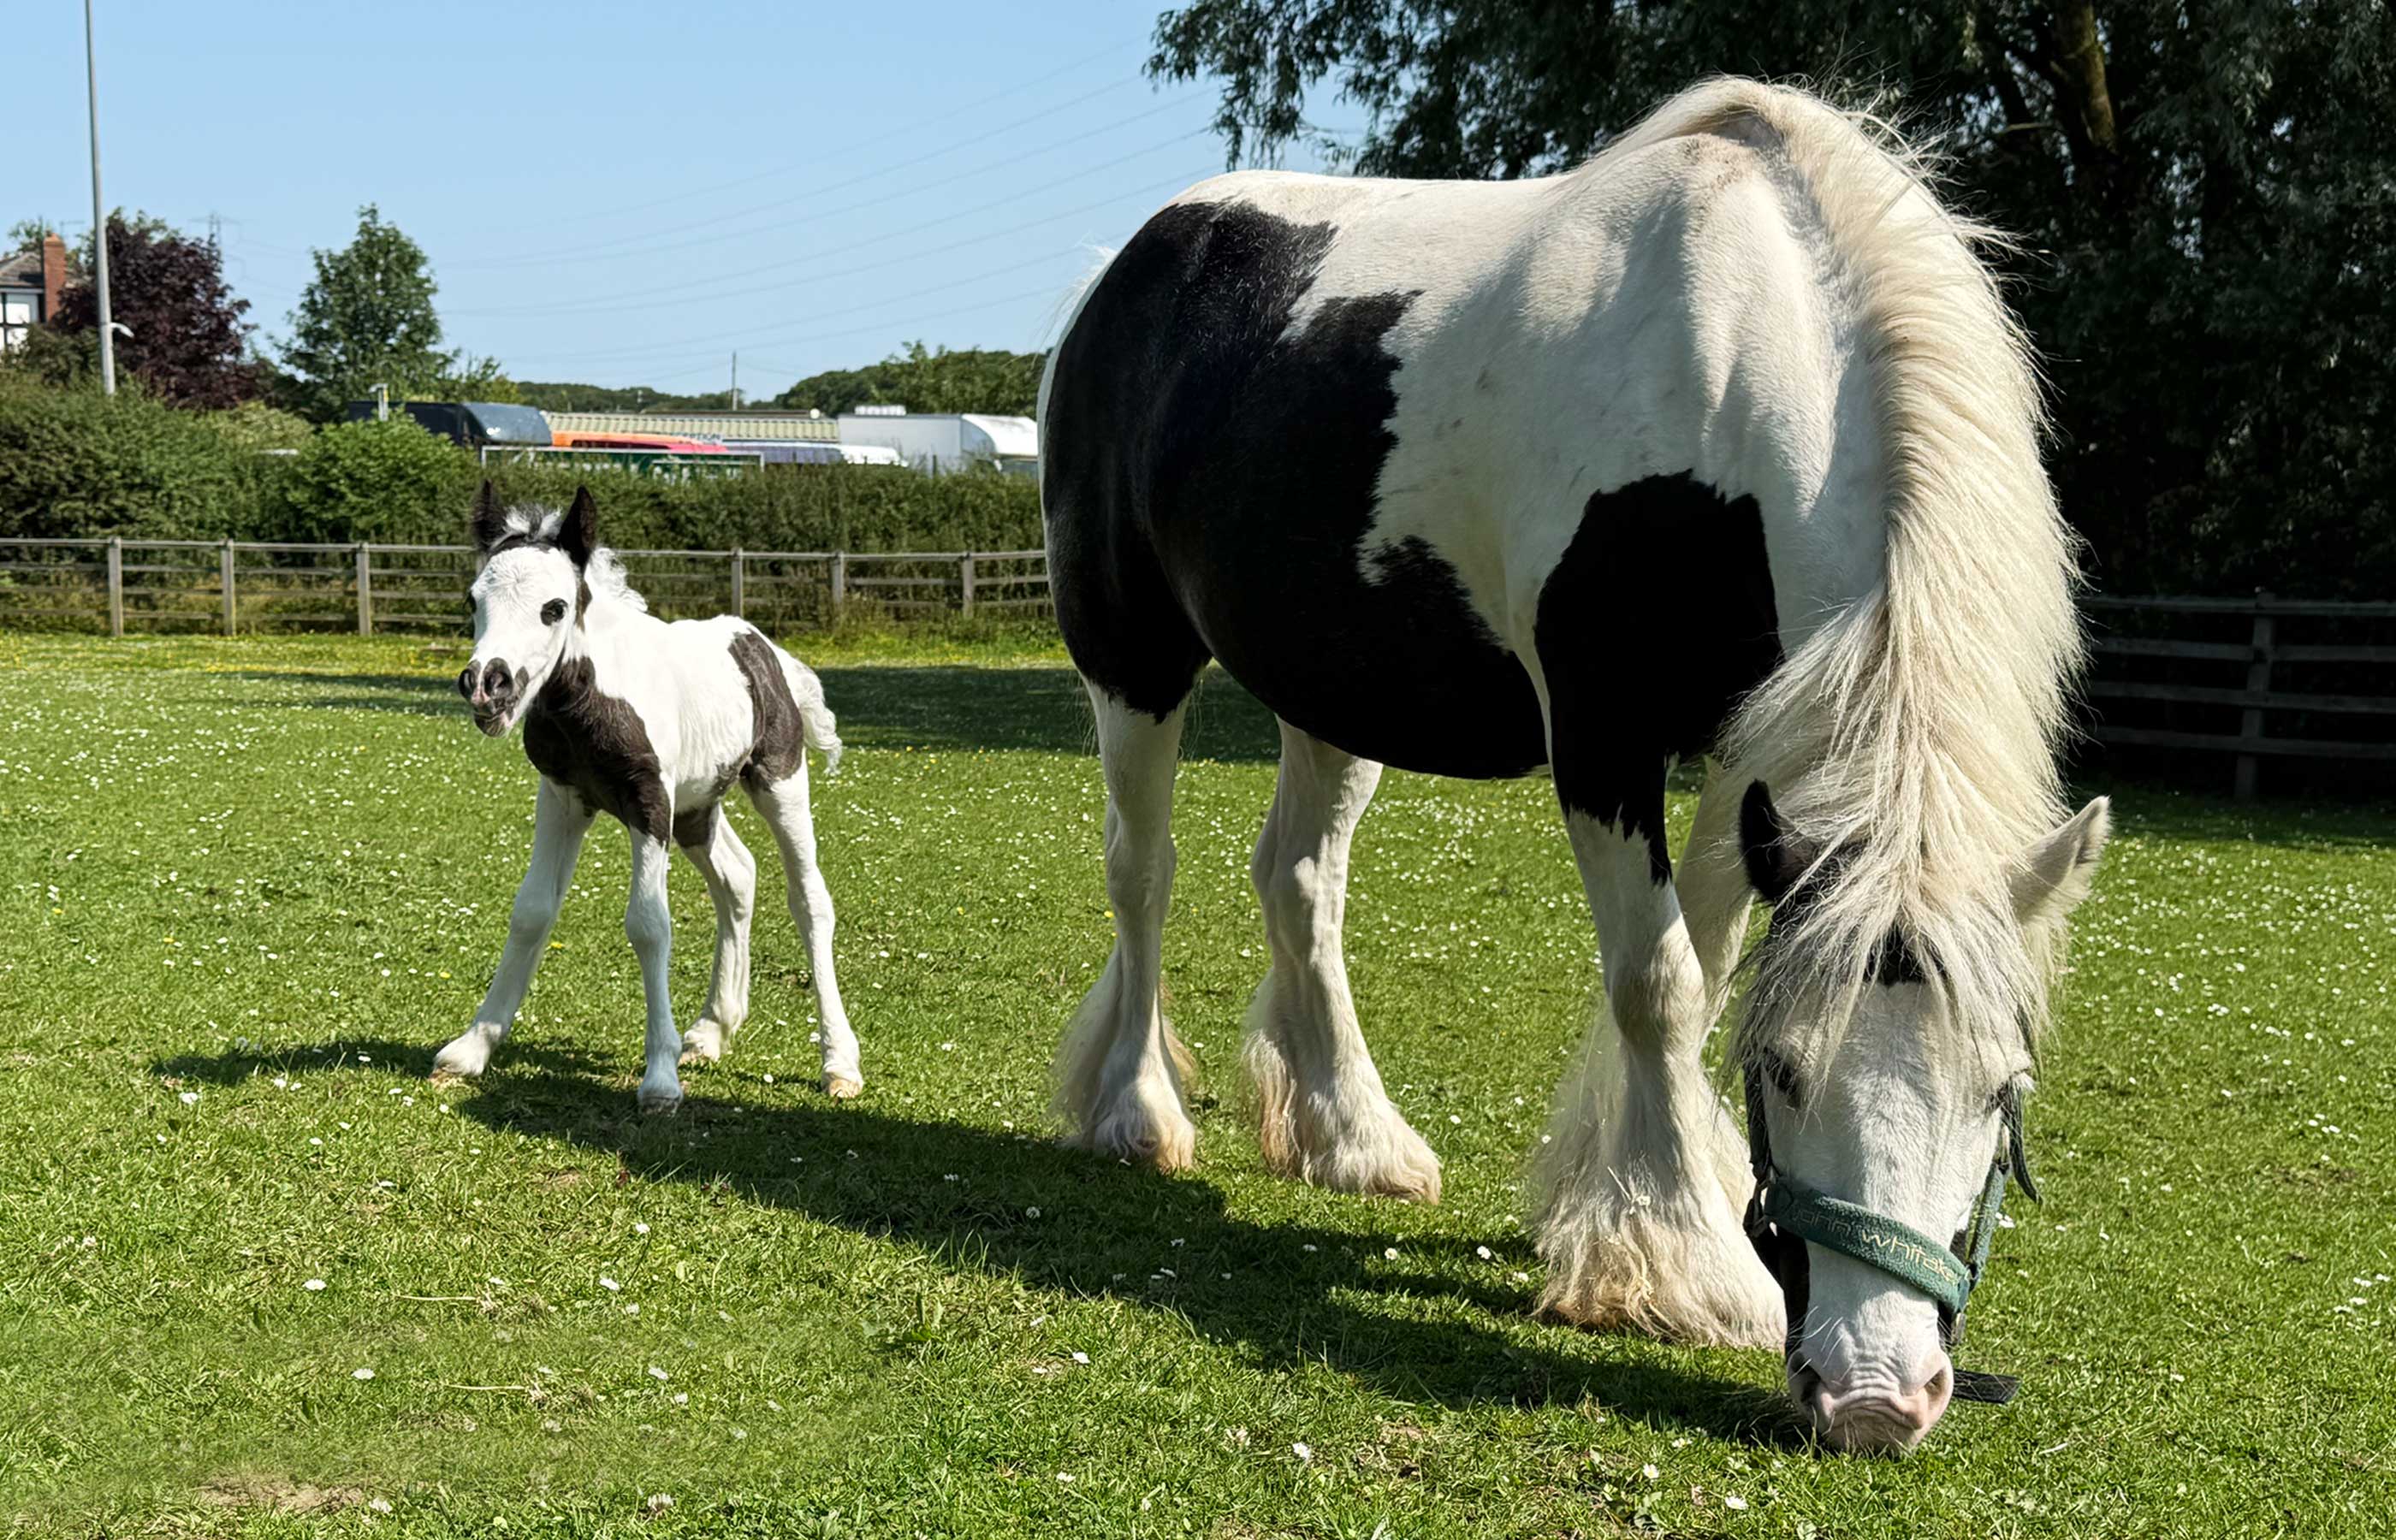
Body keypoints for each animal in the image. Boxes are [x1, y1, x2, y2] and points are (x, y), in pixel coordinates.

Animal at [431, 483, 858, 1113]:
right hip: (698, 810)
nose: (487, 684)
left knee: (809, 901)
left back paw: (839, 1062)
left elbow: (650, 923)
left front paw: (659, 1078)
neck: (595, 696)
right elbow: (531, 911)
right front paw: (472, 1049)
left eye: (554, 607)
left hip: (778, 782)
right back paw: (712, 1029)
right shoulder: (562, 799)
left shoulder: (649, 803)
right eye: (472, 599)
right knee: (738, 876)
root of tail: (766, 650)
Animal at [1037, 78, 2111, 1453]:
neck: (1735, 364)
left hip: (1333, 686)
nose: (1877, 1398)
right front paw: (1692, 1265)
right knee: (1144, 869)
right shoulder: (1603, 737)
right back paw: (1137, 1114)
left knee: (1299, 881)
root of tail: (1136, 260)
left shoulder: (1746, 747)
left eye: (2005, 1089)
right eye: (1783, 1073)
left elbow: (1702, 962)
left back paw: (1353, 1140)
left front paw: (1634, 1213)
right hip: (1131, 659)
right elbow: (1660, 983)